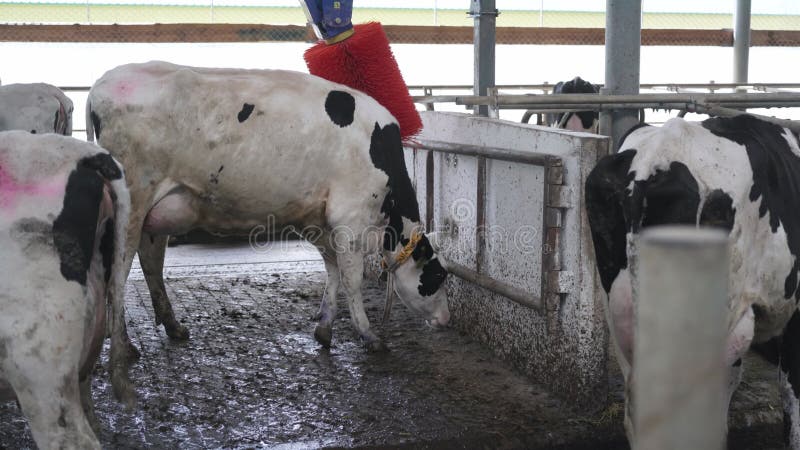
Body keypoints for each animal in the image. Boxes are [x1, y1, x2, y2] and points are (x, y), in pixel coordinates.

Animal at [85, 61, 449, 354]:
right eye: (437, 277)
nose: (444, 319)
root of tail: (102, 83)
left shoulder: (320, 222)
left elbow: (332, 272)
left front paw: (324, 330)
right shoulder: (349, 215)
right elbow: (351, 279)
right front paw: (369, 335)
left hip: (156, 212)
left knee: (150, 263)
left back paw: (172, 326)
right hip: (132, 203)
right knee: (118, 274)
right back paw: (125, 345)